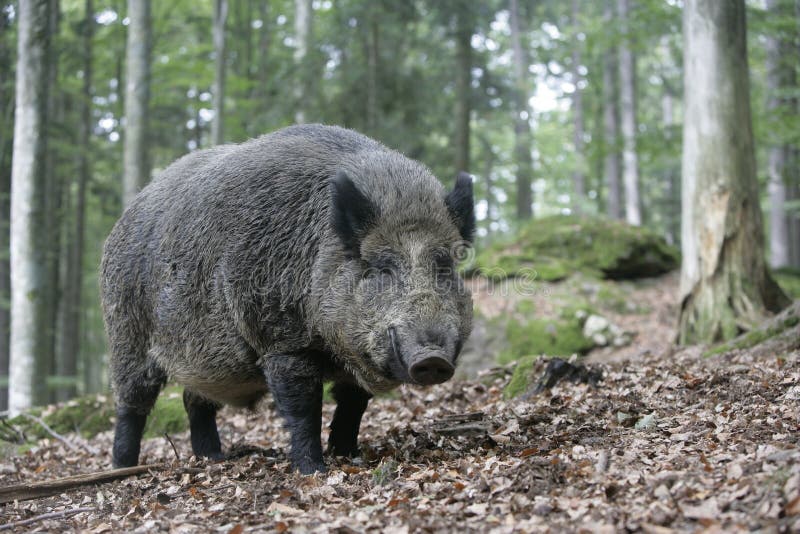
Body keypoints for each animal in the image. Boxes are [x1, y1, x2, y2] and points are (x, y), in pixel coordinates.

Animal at [101, 124, 475, 474]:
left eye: (444, 265)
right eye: (381, 267)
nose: (432, 357)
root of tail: (122, 220)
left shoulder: (359, 351)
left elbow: (352, 406)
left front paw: (347, 455)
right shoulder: (281, 340)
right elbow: (303, 407)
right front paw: (313, 469)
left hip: (204, 361)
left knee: (194, 399)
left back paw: (214, 458)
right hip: (126, 332)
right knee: (132, 403)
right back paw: (122, 468)